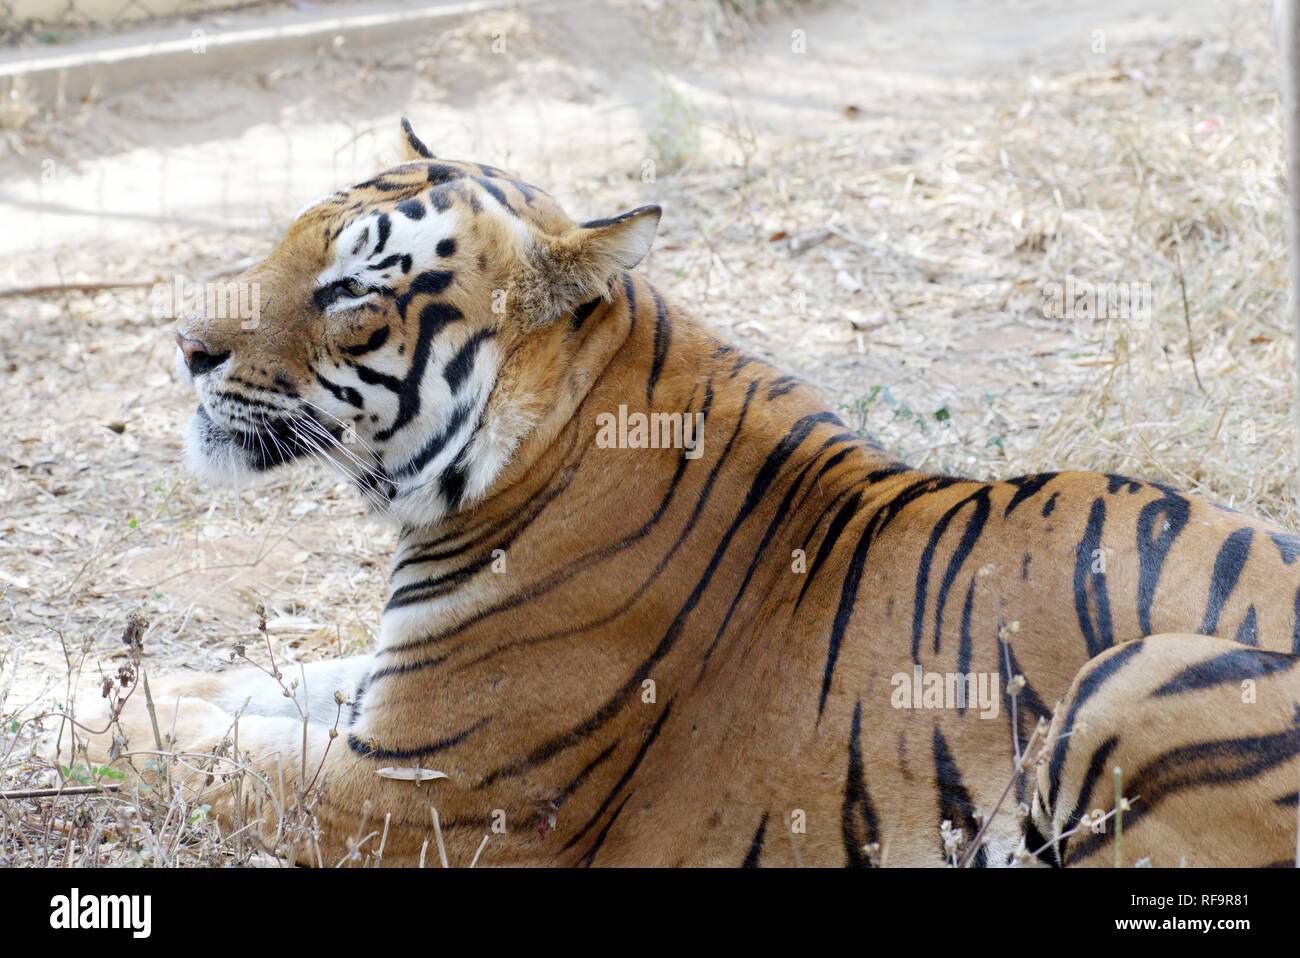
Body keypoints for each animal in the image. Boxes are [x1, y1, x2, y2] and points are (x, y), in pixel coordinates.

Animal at [73, 118, 1300, 867]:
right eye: (288, 237)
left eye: (352, 296)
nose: (183, 345)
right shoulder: (391, 699)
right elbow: (249, 691)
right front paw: (88, 681)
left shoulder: (419, 791)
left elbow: (226, 756)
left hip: (1127, 682)